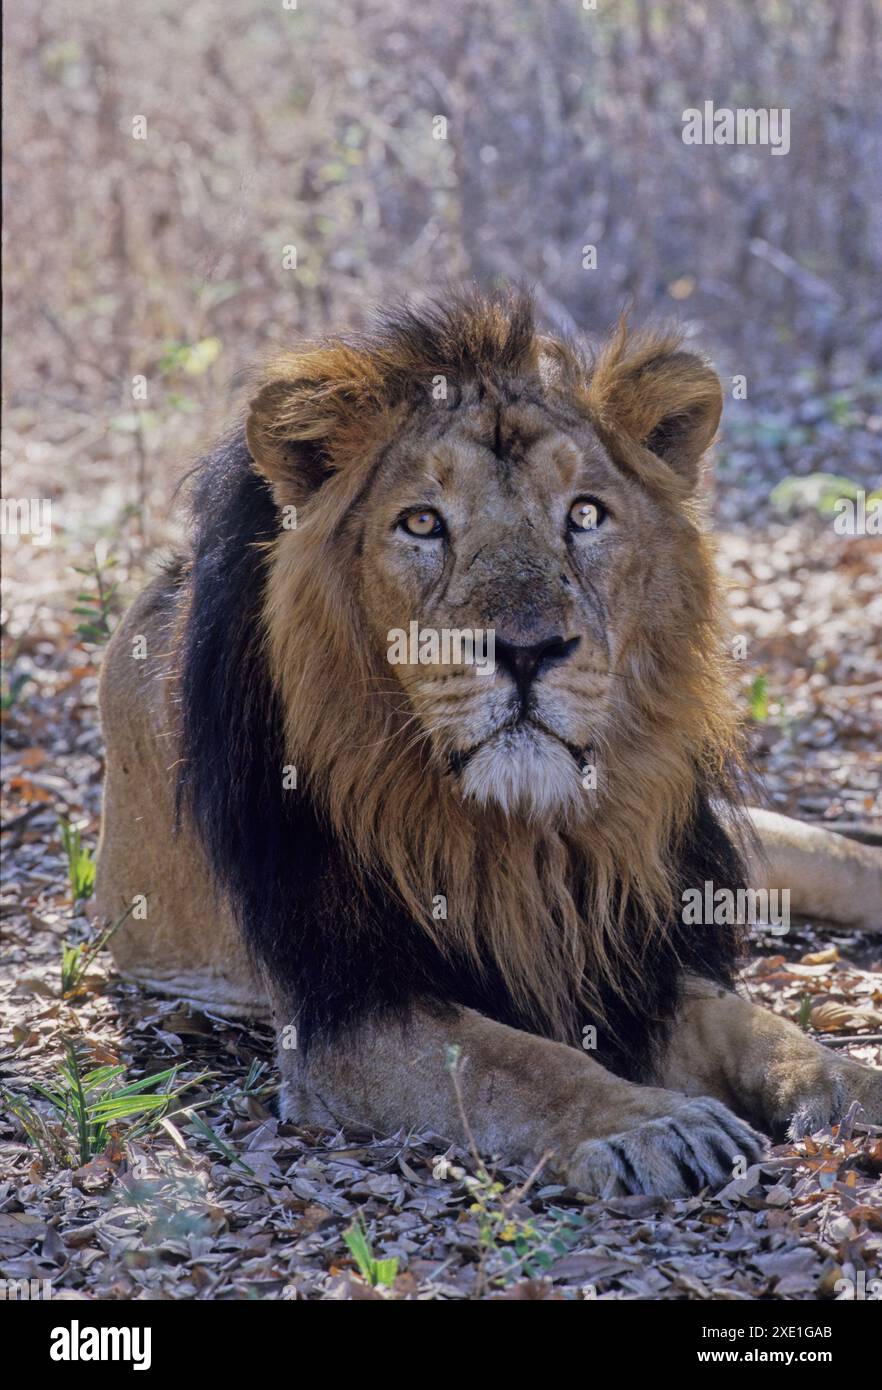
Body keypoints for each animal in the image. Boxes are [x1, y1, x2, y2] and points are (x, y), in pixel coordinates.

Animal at [96, 289, 882, 1197]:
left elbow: (759, 1031)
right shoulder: (347, 1008)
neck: (521, 831)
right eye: (422, 523)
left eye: (585, 514)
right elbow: (521, 1064)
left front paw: (853, 1084)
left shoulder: (629, 950)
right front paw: (653, 1124)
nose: (527, 651)